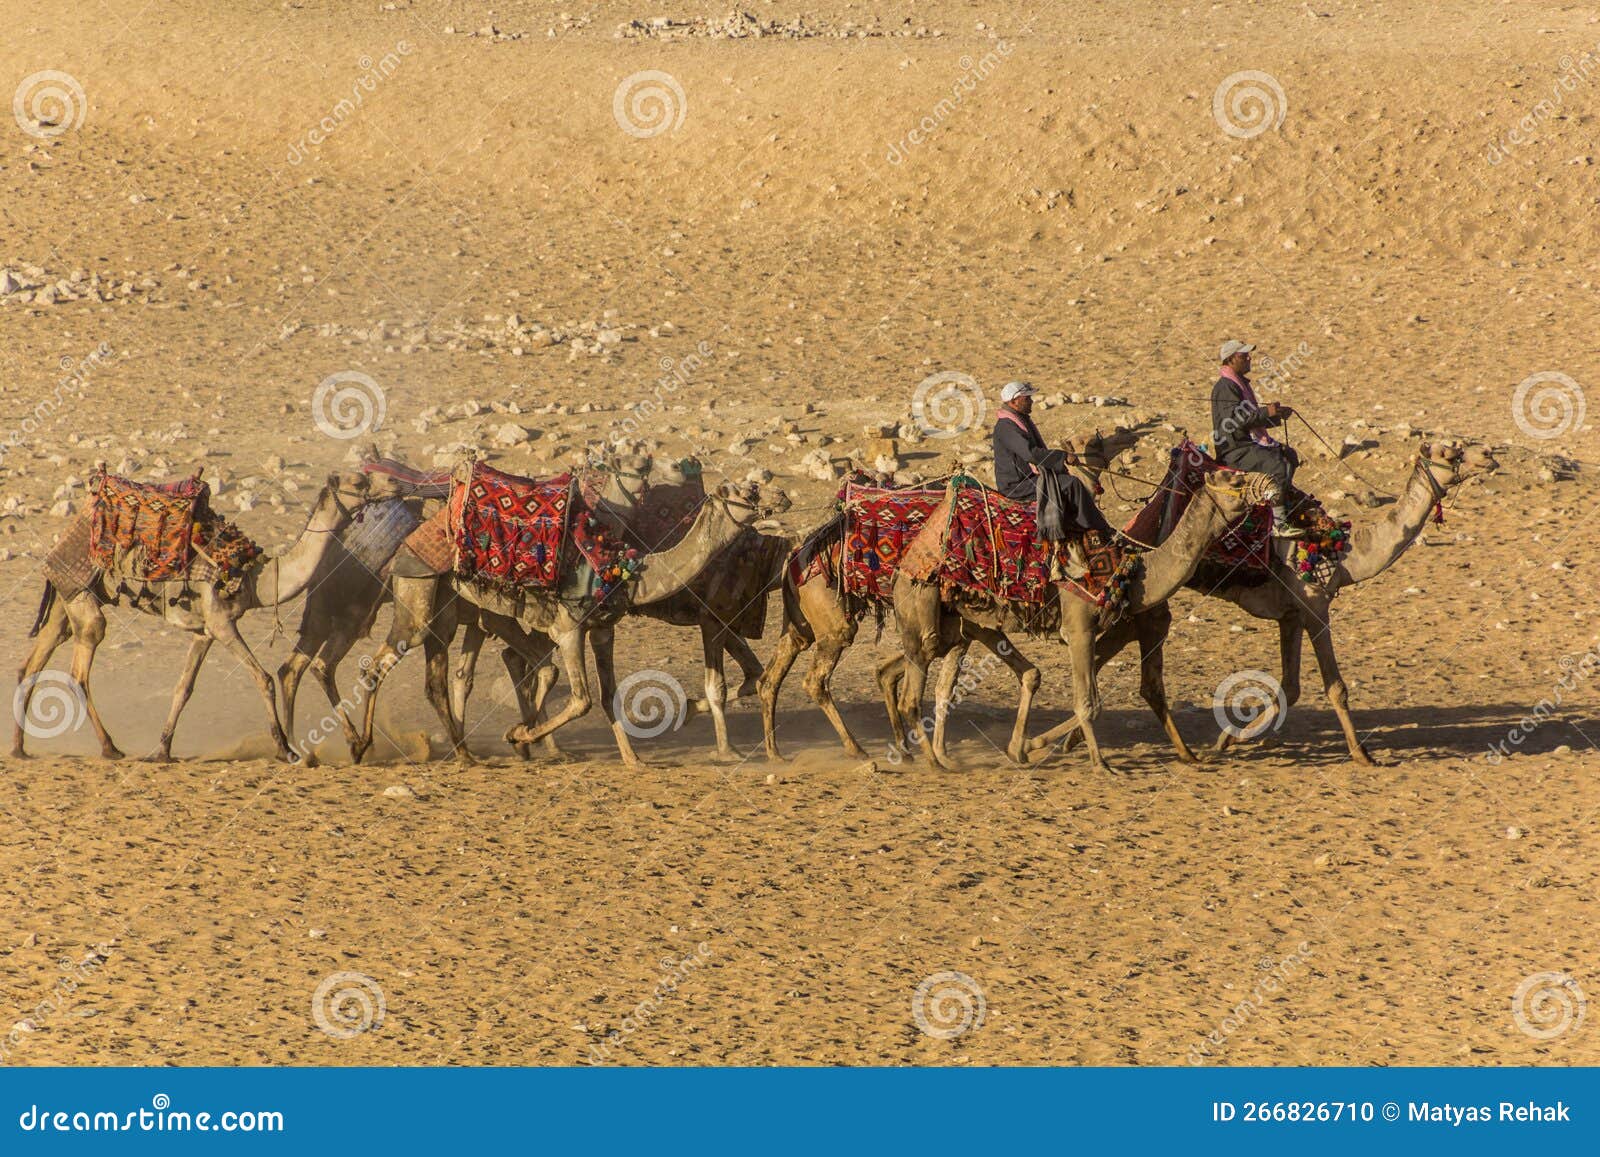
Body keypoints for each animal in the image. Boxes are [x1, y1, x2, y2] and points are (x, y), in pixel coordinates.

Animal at [13, 470, 387, 762]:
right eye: (359, 481)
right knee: (79, 668)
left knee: (34, 660)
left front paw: (161, 751)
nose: (392, 486)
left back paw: (19, 748)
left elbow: (184, 687)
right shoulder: (222, 623)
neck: (253, 576)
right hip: (83, 601)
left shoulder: (204, 631)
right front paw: (286, 750)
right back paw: (110, 748)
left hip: (69, 596)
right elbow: (263, 678)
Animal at [758, 428, 1144, 763]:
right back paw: (857, 749)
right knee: (816, 680)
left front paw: (948, 751)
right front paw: (947, 751)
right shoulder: (975, 622)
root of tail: (797, 556)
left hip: (802, 622)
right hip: (834, 622)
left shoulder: (967, 626)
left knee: (773, 676)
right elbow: (952, 685)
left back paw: (779, 752)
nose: (1129, 437)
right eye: (1098, 440)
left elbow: (959, 684)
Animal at [884, 468, 1280, 774]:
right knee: (913, 690)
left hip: (958, 619)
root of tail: (909, 556)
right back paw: (932, 762)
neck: (1135, 574)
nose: (1271, 484)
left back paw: (949, 756)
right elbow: (1090, 701)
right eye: (1235, 478)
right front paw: (1100, 764)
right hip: (920, 604)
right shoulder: (1079, 628)